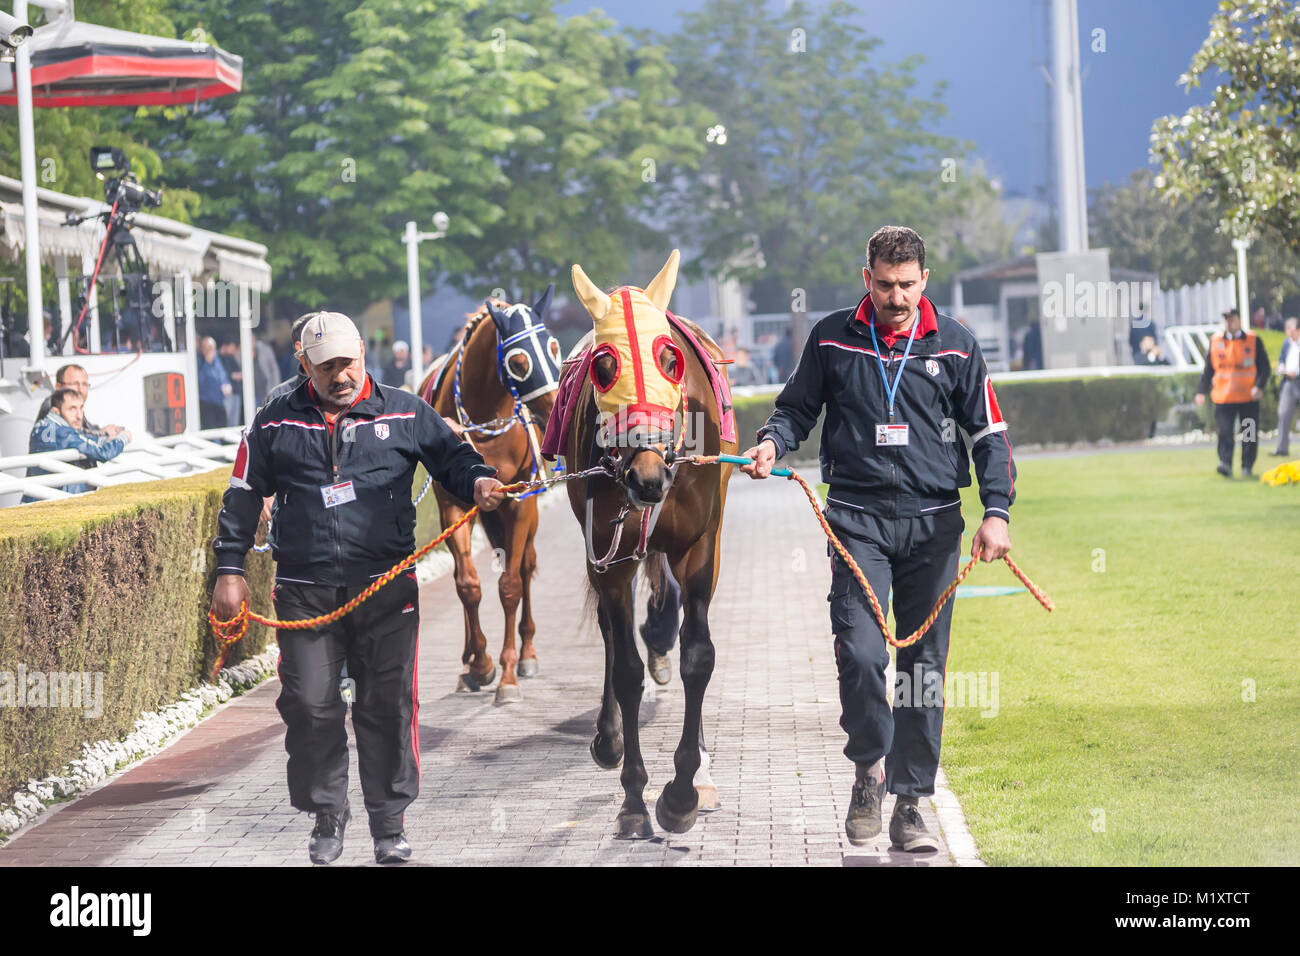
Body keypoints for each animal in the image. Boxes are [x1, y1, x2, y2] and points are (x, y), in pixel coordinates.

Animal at [419, 286, 563, 705]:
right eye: (518, 361)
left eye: (553, 347)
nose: (556, 407)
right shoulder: (454, 504)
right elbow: (468, 584)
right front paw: (481, 663)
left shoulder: (520, 501)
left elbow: (511, 585)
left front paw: (509, 674)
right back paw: (470, 660)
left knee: (526, 565)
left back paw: (527, 653)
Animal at [562, 249, 737, 838]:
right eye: (604, 365)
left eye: (669, 359)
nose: (645, 477)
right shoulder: (608, 551)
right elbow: (626, 669)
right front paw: (635, 798)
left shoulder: (699, 544)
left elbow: (699, 655)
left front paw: (685, 789)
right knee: (612, 635)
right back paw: (609, 736)